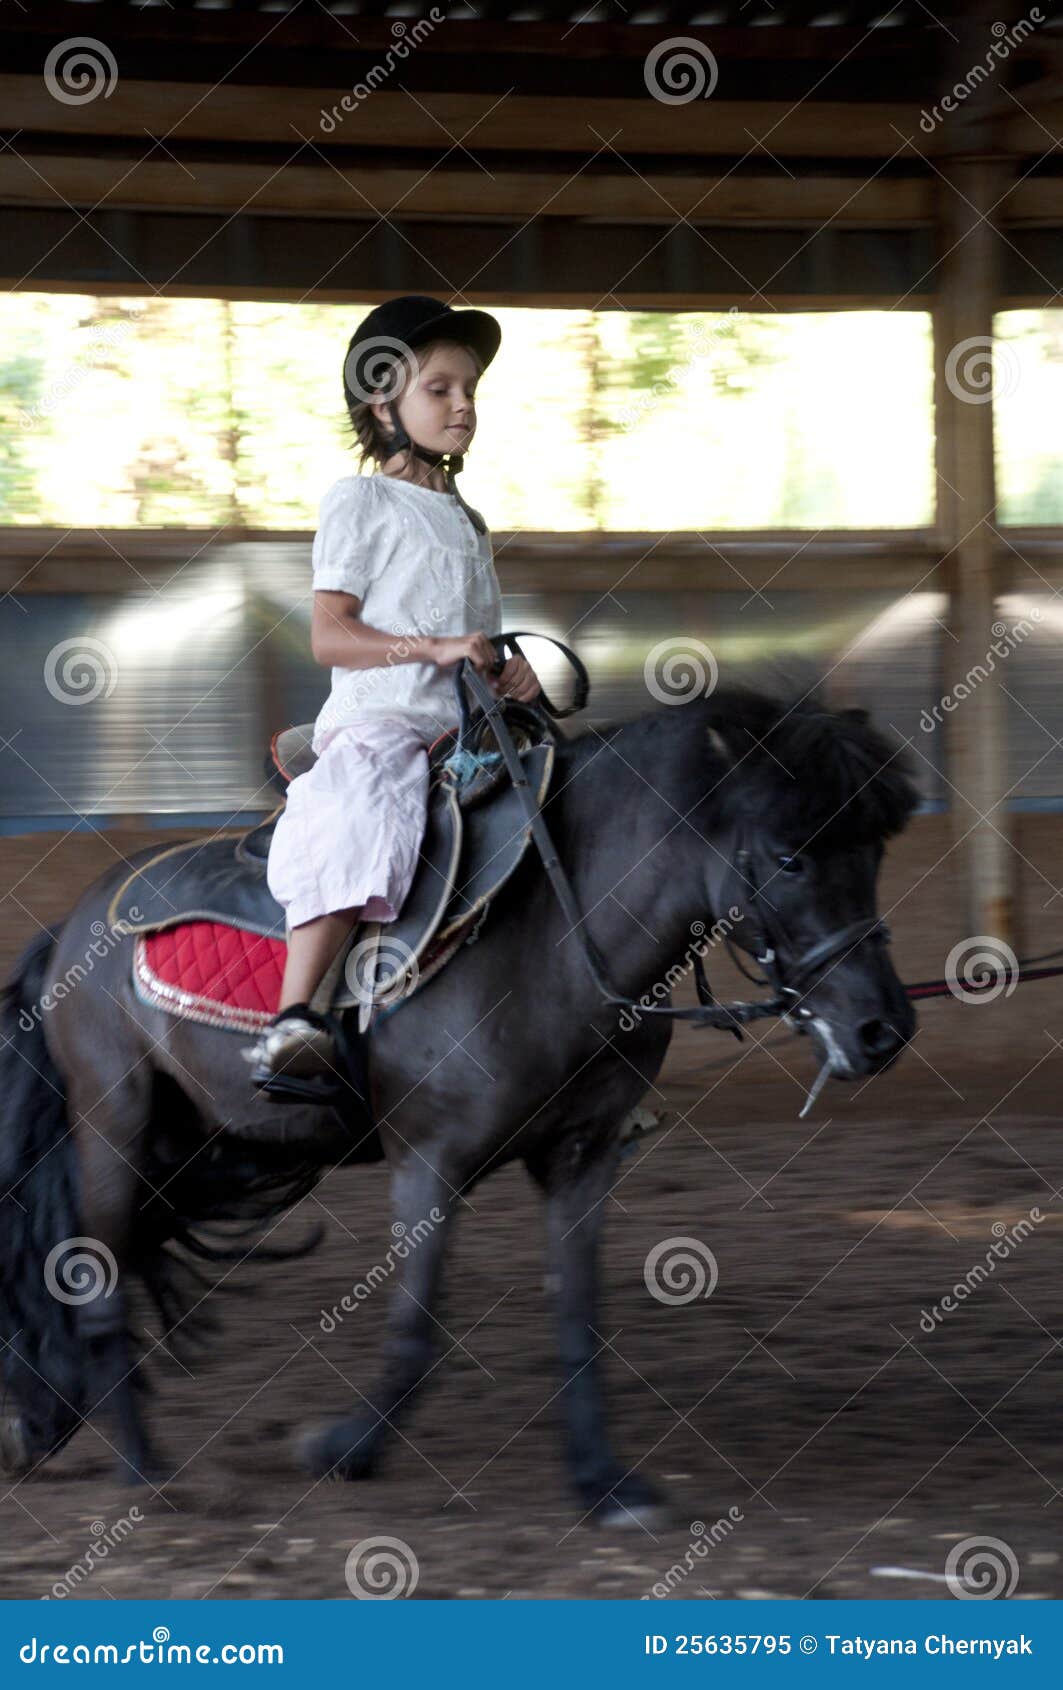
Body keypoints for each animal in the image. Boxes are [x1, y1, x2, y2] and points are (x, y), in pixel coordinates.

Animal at [0, 678, 920, 1526]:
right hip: (114, 1120)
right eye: (790, 857)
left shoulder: (580, 1157)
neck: (556, 932)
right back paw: (143, 1470)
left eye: (875, 854)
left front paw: (603, 1484)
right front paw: (340, 1449)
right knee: (93, 1273)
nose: (882, 1029)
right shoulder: (430, 1159)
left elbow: (577, 1319)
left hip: (187, 1134)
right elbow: (416, 1332)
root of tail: (78, 923)